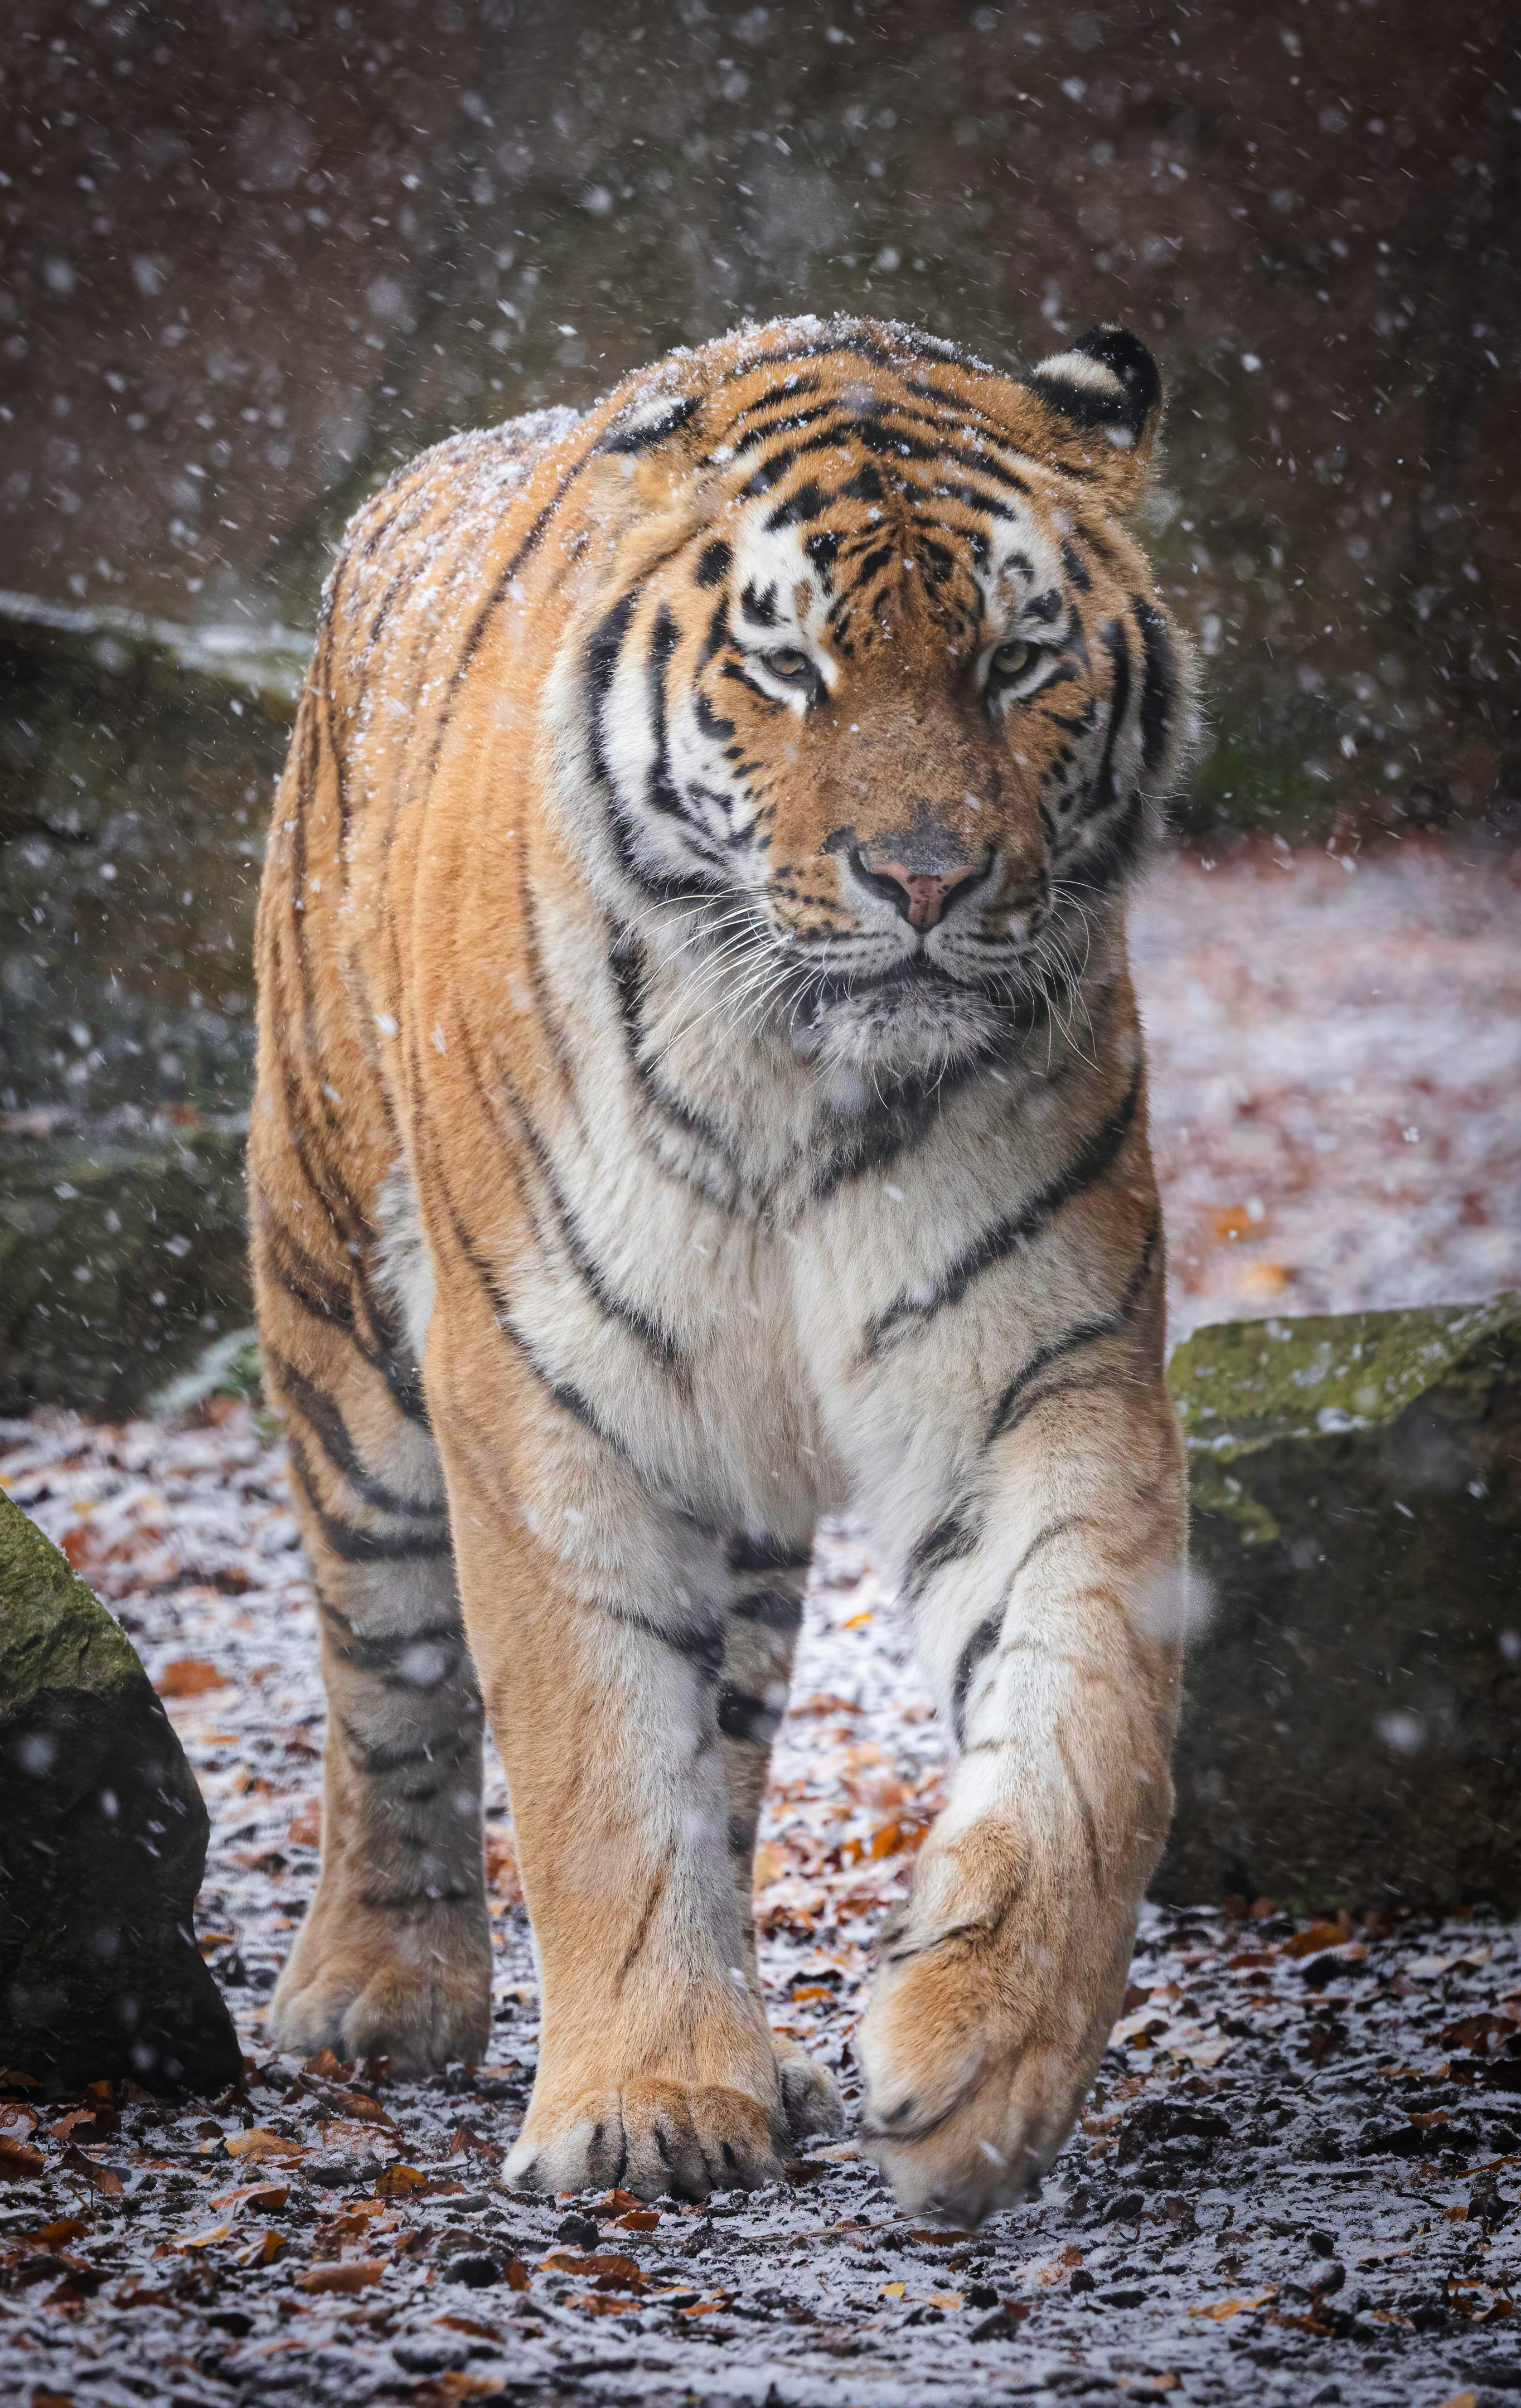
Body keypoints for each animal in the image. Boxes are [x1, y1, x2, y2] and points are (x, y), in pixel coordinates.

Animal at [250, 312, 1198, 2224]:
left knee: (736, 1722)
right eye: (792, 668)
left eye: (1017, 660)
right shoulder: (552, 1393)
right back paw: (378, 1985)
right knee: (381, 1666)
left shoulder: (1040, 1369)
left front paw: (978, 2058)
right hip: (342, 1323)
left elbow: (1085, 1721)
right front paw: (645, 2103)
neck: (799, 1082)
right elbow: (599, 1758)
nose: (925, 878)